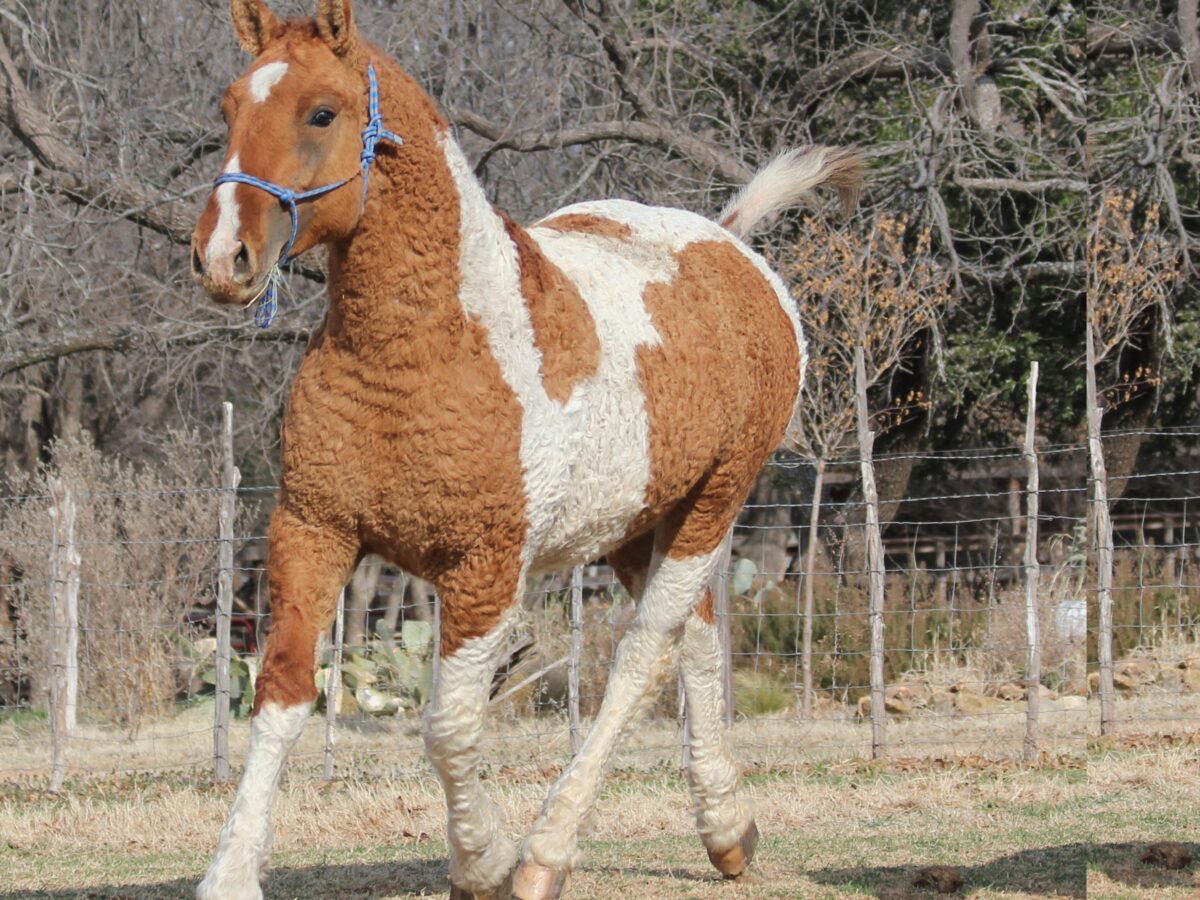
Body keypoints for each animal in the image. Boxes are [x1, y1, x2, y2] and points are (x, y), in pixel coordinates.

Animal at [189, 2, 862, 898]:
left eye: (321, 113)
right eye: (229, 107)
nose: (222, 257)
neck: (422, 351)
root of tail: (732, 247)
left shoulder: (484, 568)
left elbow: (447, 724)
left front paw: (485, 860)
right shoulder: (313, 531)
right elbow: (283, 696)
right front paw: (231, 873)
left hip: (713, 507)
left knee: (642, 656)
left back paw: (548, 851)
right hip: (636, 528)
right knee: (695, 645)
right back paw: (727, 832)